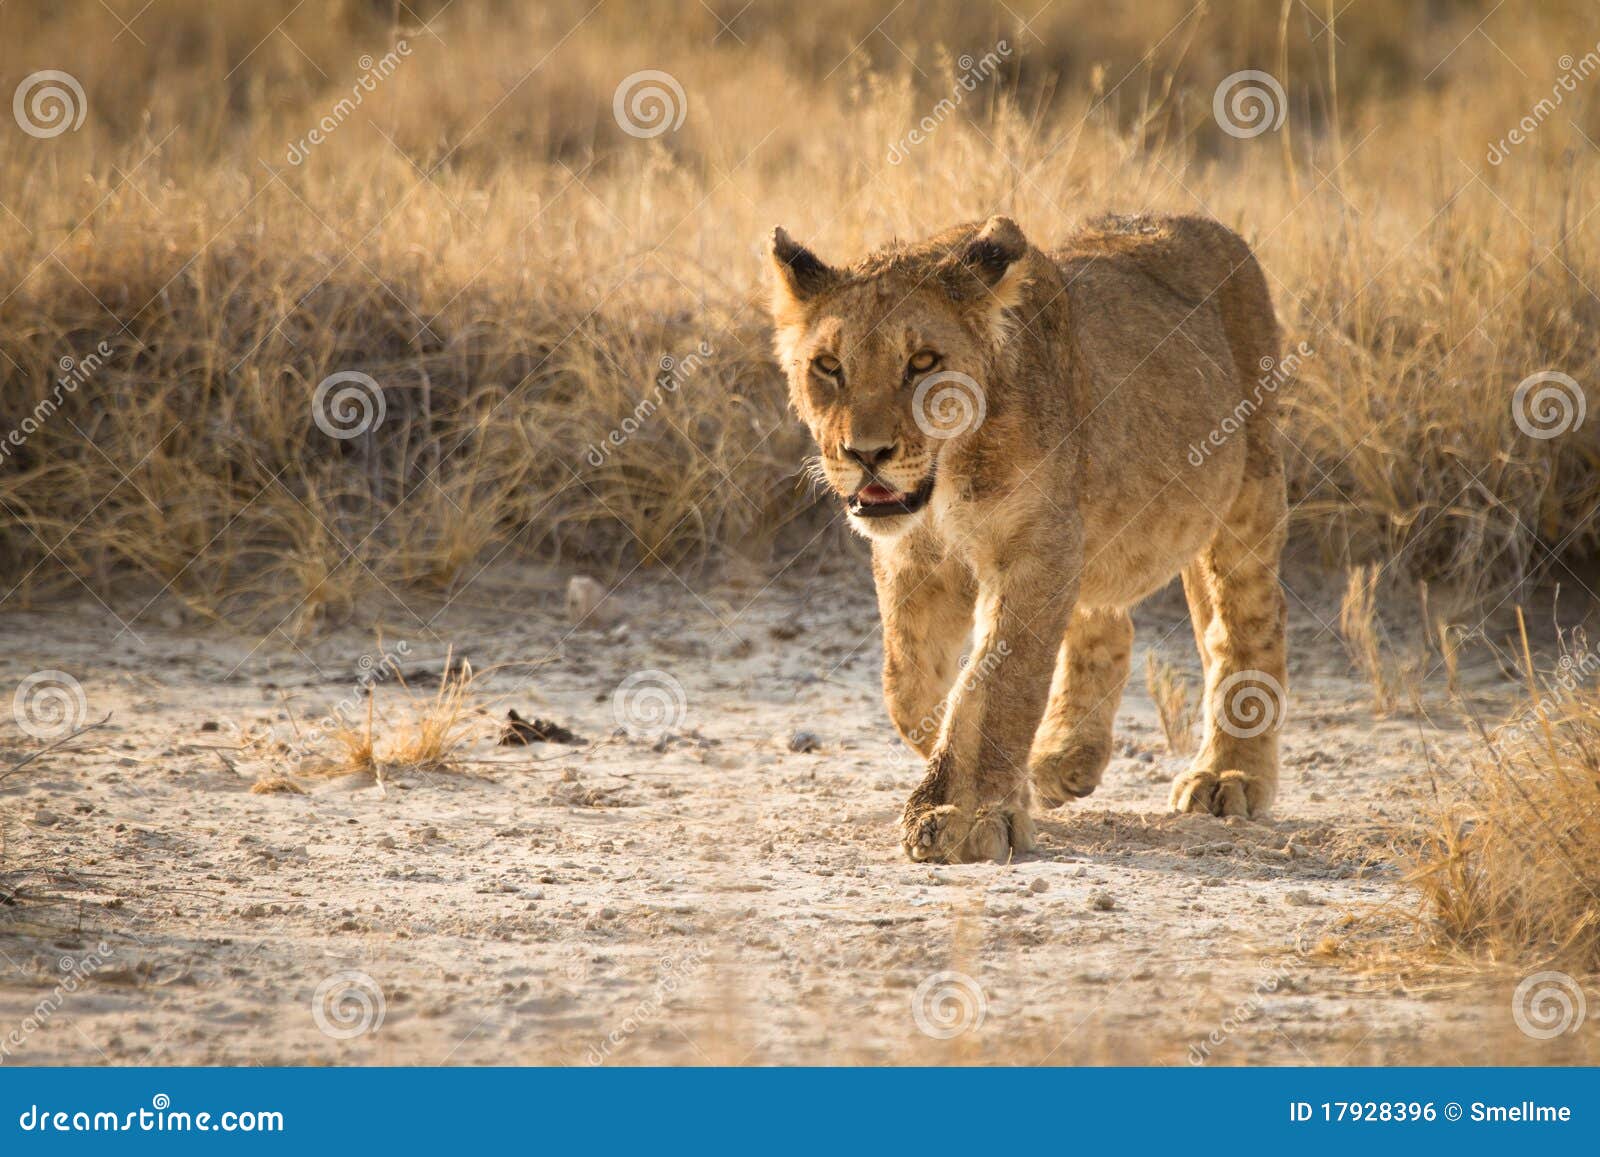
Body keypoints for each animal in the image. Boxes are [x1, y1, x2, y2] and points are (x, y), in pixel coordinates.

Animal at [767, 213, 1289, 864]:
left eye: (923, 362)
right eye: (828, 366)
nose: (865, 455)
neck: (949, 476)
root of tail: (1217, 229)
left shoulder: (1035, 547)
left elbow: (995, 682)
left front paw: (961, 813)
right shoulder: (912, 557)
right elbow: (908, 685)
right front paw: (999, 783)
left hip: (1247, 492)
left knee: (1244, 627)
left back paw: (1228, 775)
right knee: (1105, 623)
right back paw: (1064, 757)